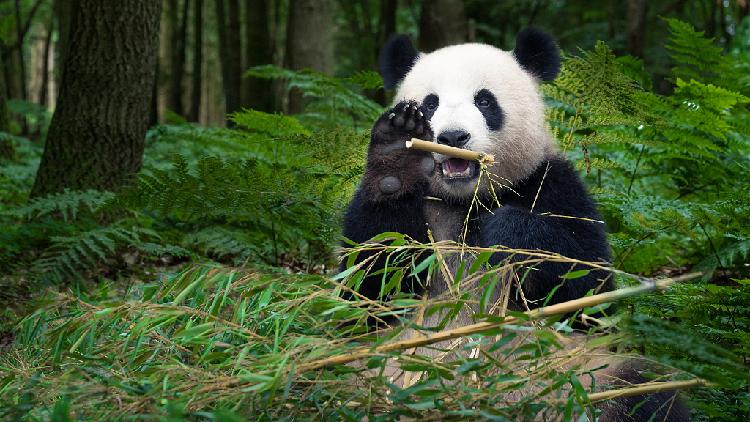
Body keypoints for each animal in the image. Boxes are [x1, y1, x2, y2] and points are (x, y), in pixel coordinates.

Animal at [341, 28, 690, 421]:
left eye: (484, 101)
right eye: (430, 104)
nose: (453, 137)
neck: (467, 201)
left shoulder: (553, 184)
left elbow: (587, 292)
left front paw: (506, 230)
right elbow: (369, 287)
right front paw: (396, 153)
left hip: (580, 377)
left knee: (642, 393)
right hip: (363, 373)